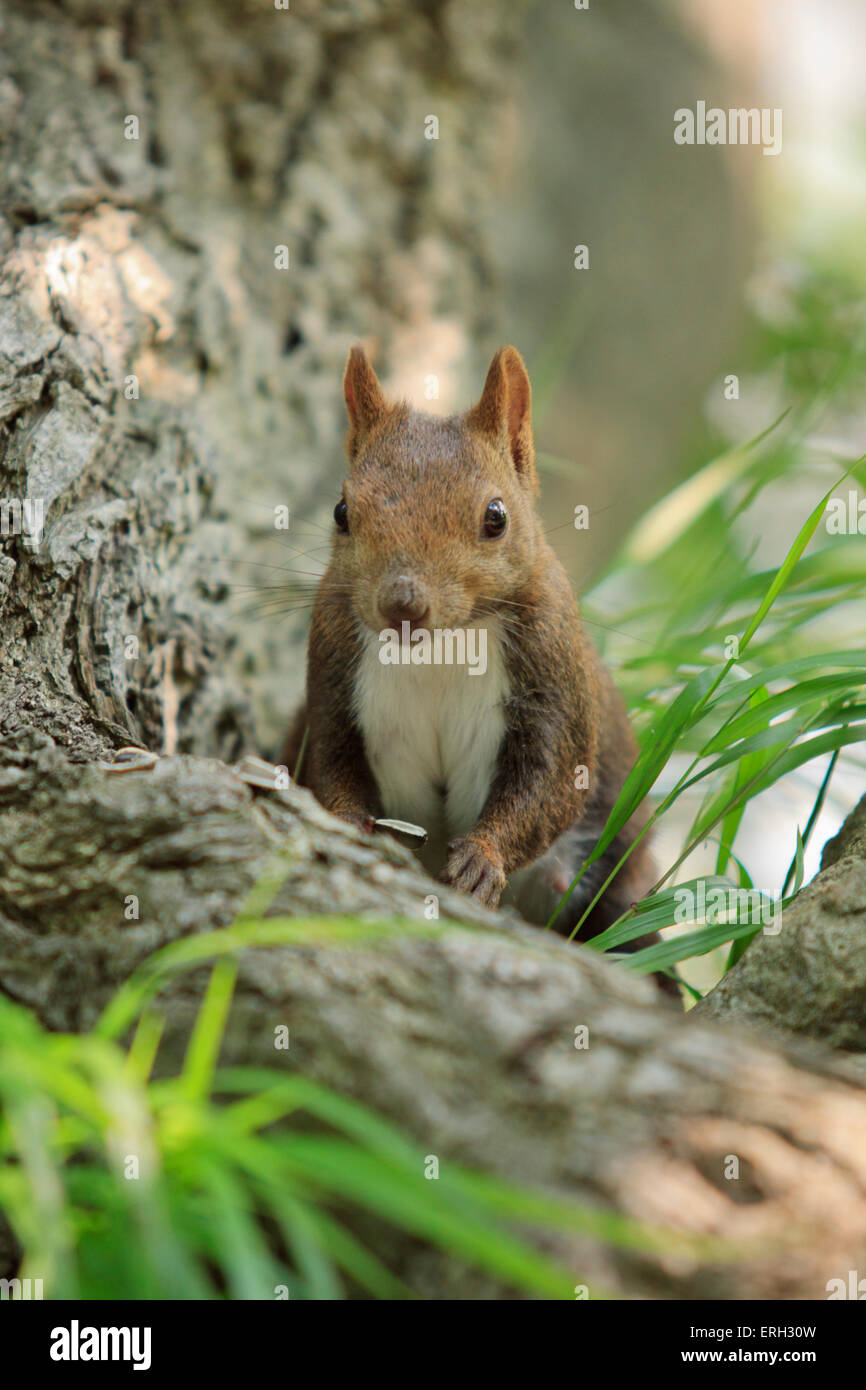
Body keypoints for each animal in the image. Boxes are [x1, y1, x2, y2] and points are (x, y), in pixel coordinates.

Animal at [281, 344, 655, 947]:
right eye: (342, 512)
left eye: (495, 517)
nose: (402, 604)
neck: (443, 647)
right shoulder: (334, 666)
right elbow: (331, 759)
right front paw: (345, 823)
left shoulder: (552, 673)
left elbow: (551, 783)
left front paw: (482, 858)